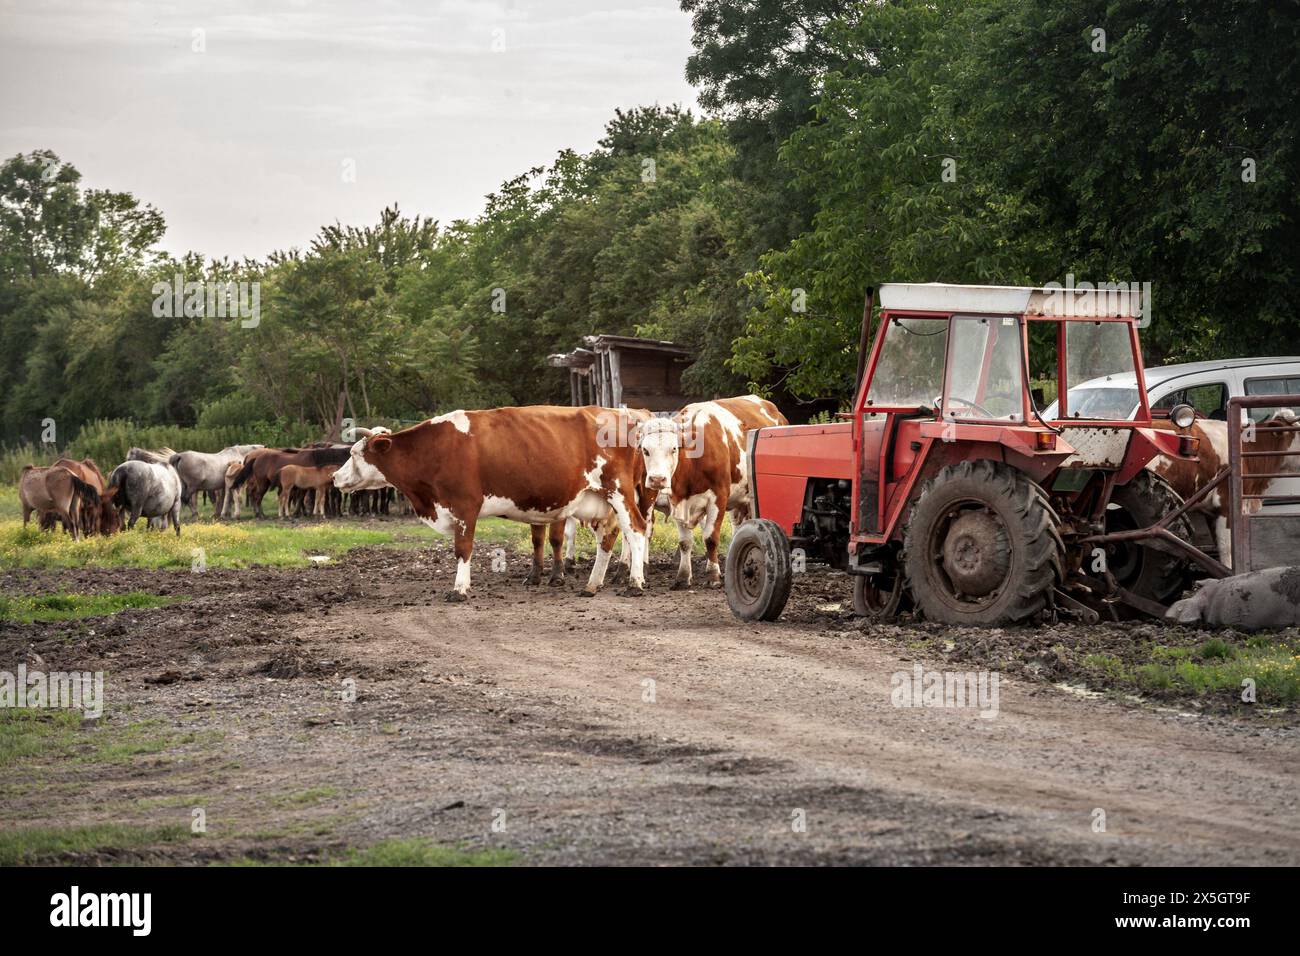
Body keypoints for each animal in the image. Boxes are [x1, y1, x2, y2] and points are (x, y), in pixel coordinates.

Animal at [333, 408, 651, 600]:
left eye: (354, 453)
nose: (335, 477)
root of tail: (620, 414)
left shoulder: (464, 507)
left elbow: (463, 549)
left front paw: (459, 589)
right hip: (598, 499)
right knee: (607, 537)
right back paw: (593, 584)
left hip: (619, 492)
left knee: (636, 529)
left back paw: (635, 582)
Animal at [636, 394, 788, 589]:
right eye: (645, 450)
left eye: (674, 449)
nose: (657, 479)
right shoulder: (677, 500)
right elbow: (685, 542)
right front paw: (683, 577)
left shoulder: (718, 497)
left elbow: (711, 538)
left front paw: (713, 575)